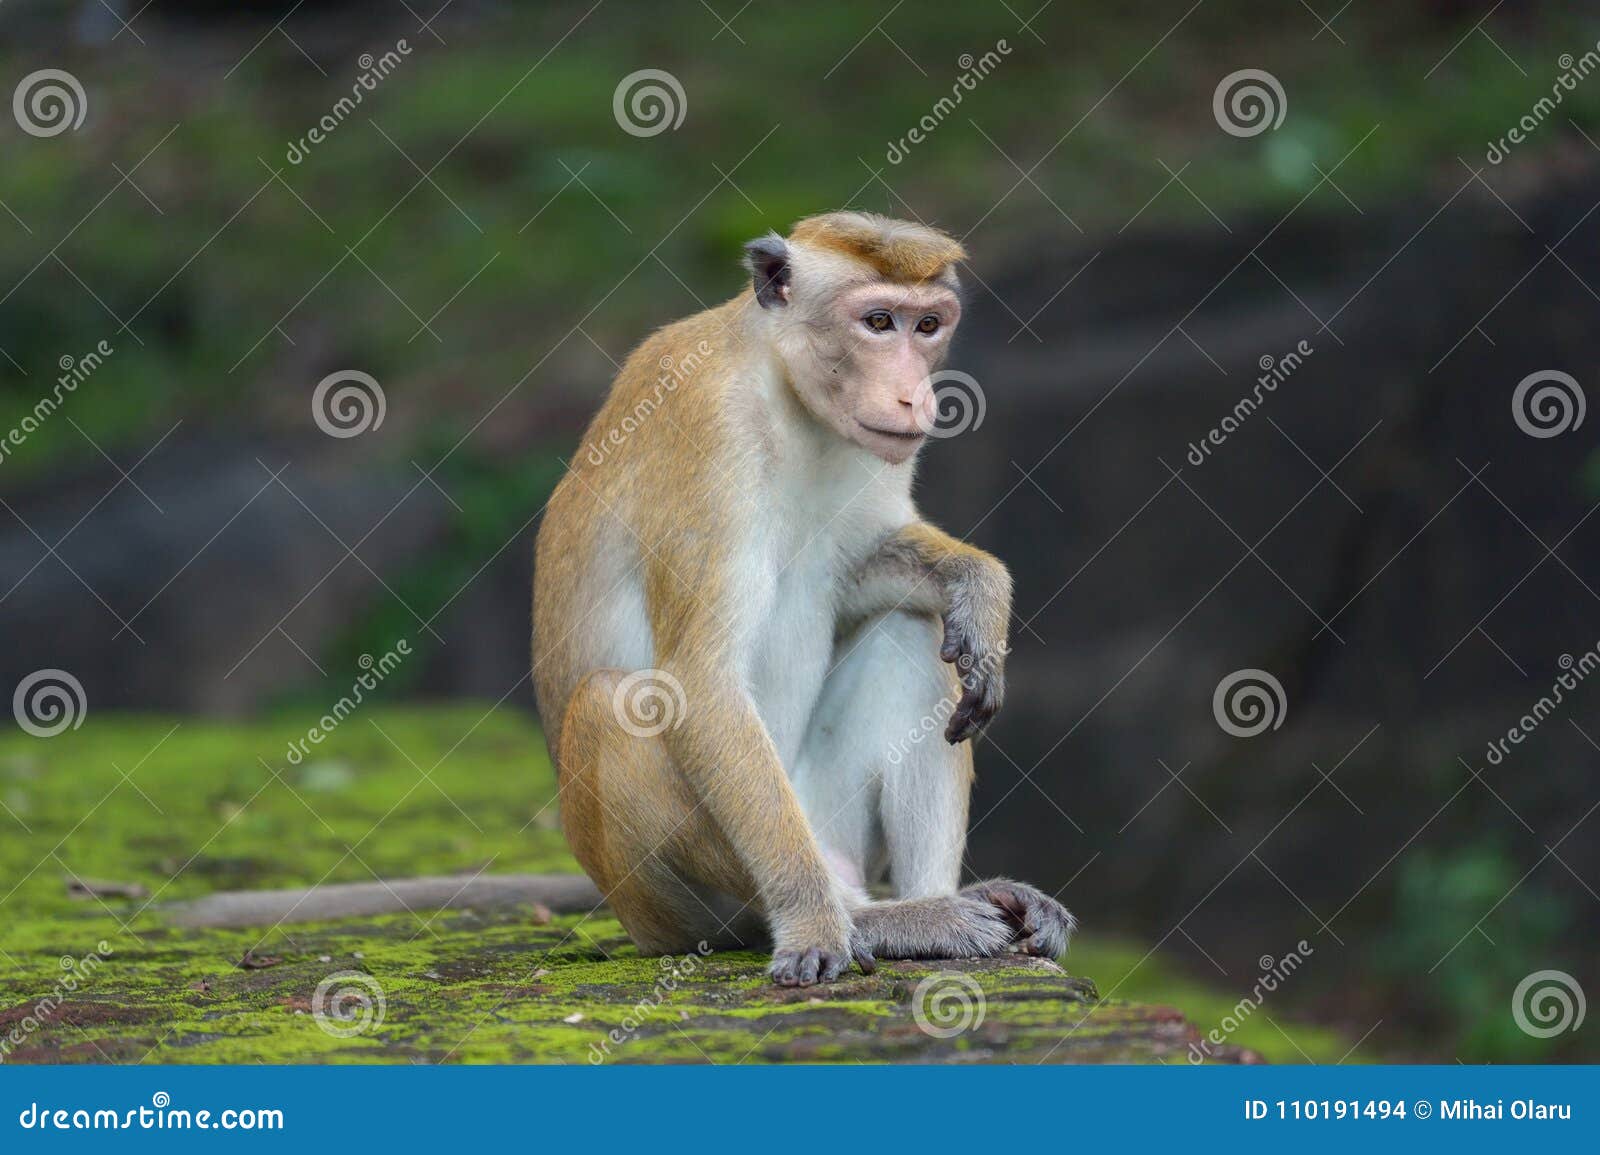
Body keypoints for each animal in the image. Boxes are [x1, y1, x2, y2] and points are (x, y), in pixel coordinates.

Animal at [532, 211, 1076, 987]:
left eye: (928, 324)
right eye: (877, 322)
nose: (917, 396)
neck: (785, 390)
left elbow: (860, 572)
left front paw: (978, 587)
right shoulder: (710, 430)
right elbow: (698, 682)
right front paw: (814, 922)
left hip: (826, 816)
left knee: (909, 629)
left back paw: (940, 902)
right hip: (685, 895)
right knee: (612, 704)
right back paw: (874, 919)